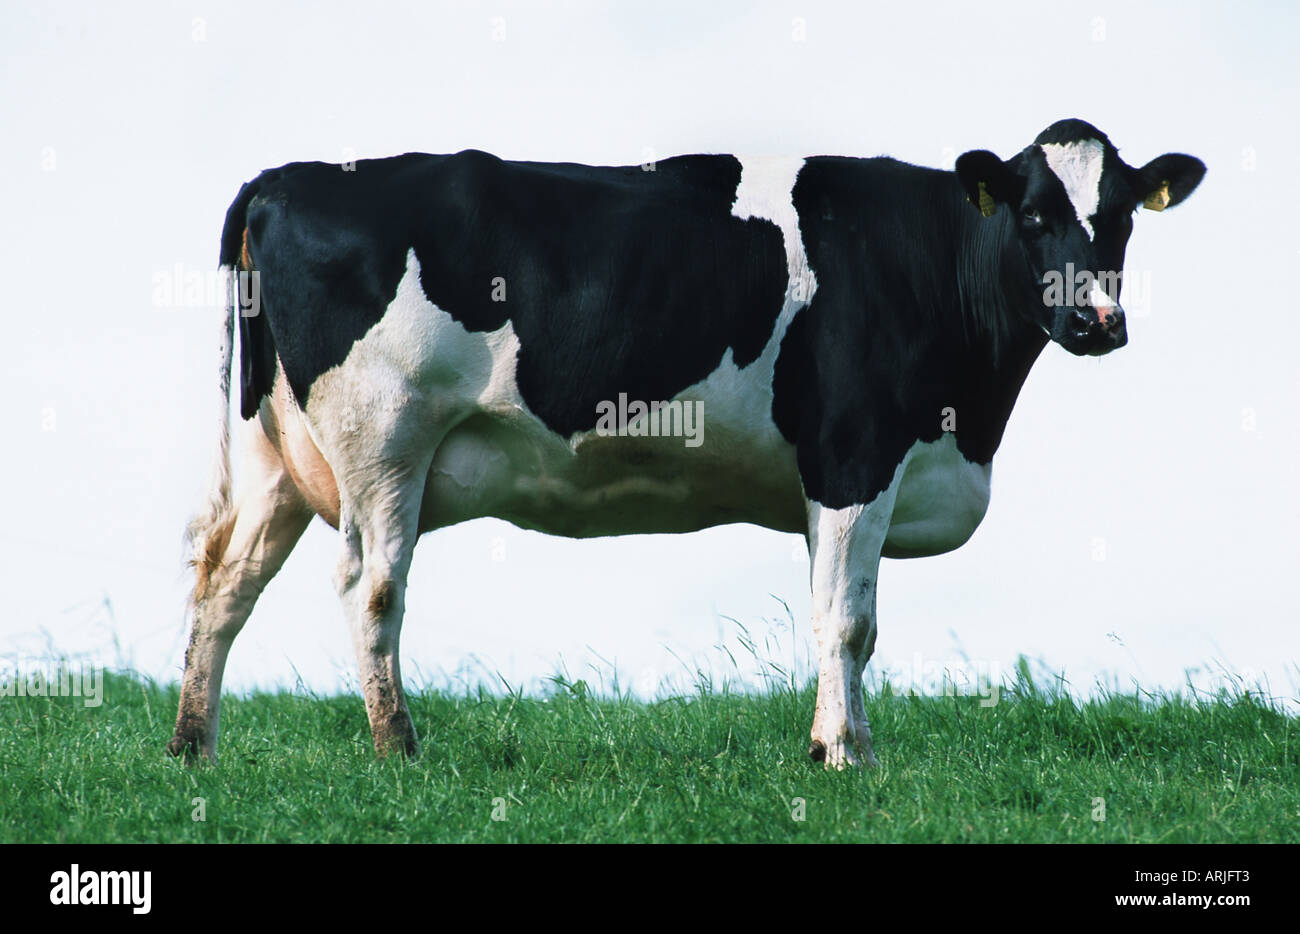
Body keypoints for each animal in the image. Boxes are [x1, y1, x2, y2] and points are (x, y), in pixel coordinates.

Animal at [169, 118, 1204, 768]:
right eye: (1034, 214)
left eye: (1117, 216)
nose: (1098, 321)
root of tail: (285, 179)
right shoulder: (855, 455)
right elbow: (847, 622)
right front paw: (843, 757)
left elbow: (854, 621)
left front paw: (848, 746)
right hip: (384, 439)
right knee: (372, 587)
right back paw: (398, 751)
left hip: (274, 456)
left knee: (223, 578)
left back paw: (193, 749)